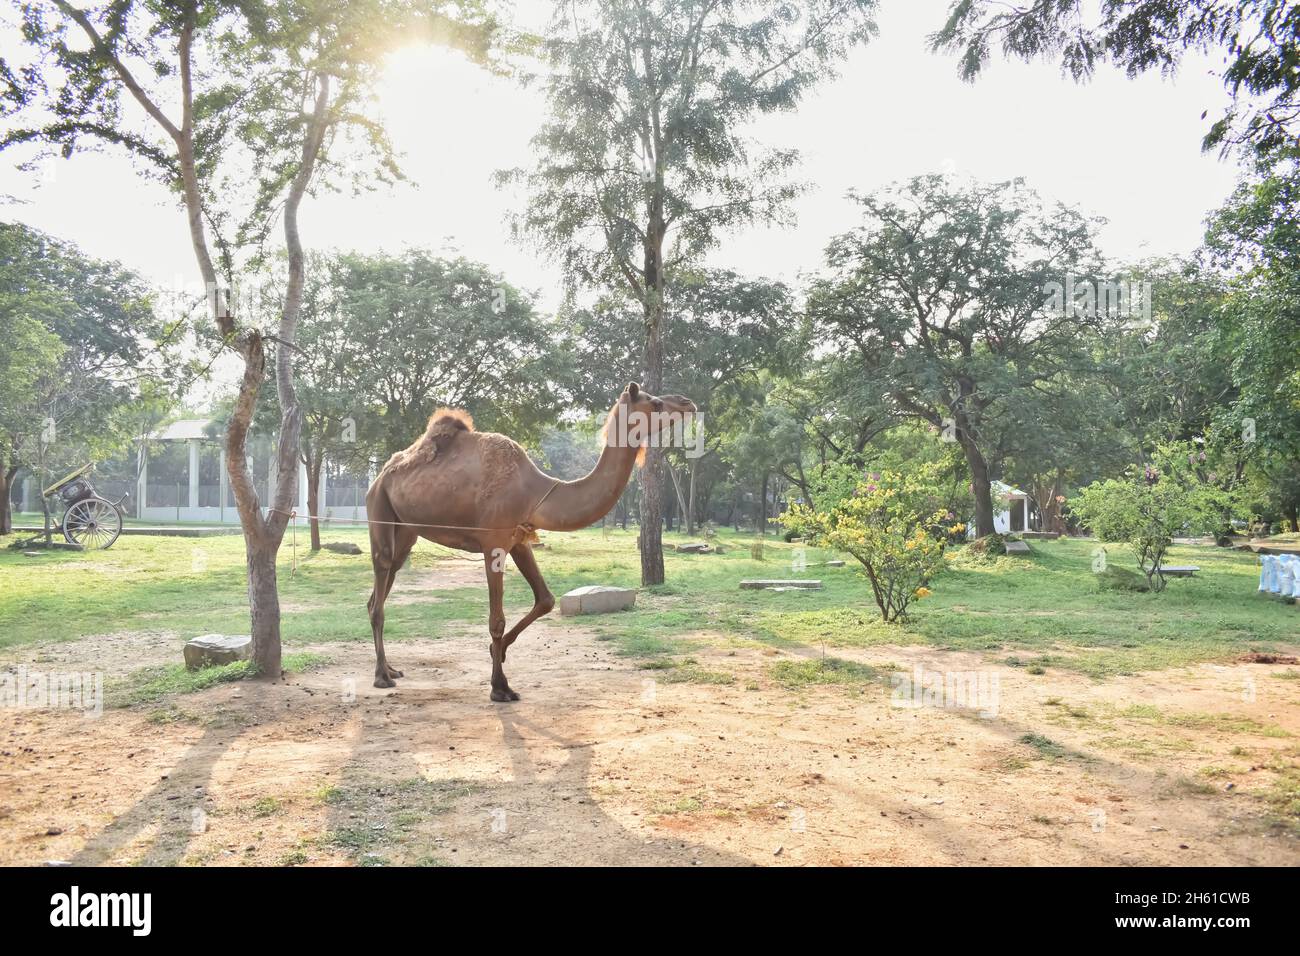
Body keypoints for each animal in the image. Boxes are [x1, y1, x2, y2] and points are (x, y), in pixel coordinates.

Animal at [365, 383, 697, 700]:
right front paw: (500, 687)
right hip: (379, 508)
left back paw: (391, 668)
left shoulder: (518, 540)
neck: (532, 491)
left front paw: (497, 652)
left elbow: (545, 599)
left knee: (380, 588)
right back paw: (381, 676)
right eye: (655, 403)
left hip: (406, 531)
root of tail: (379, 476)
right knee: (380, 582)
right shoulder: (494, 543)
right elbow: (496, 620)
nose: (687, 402)